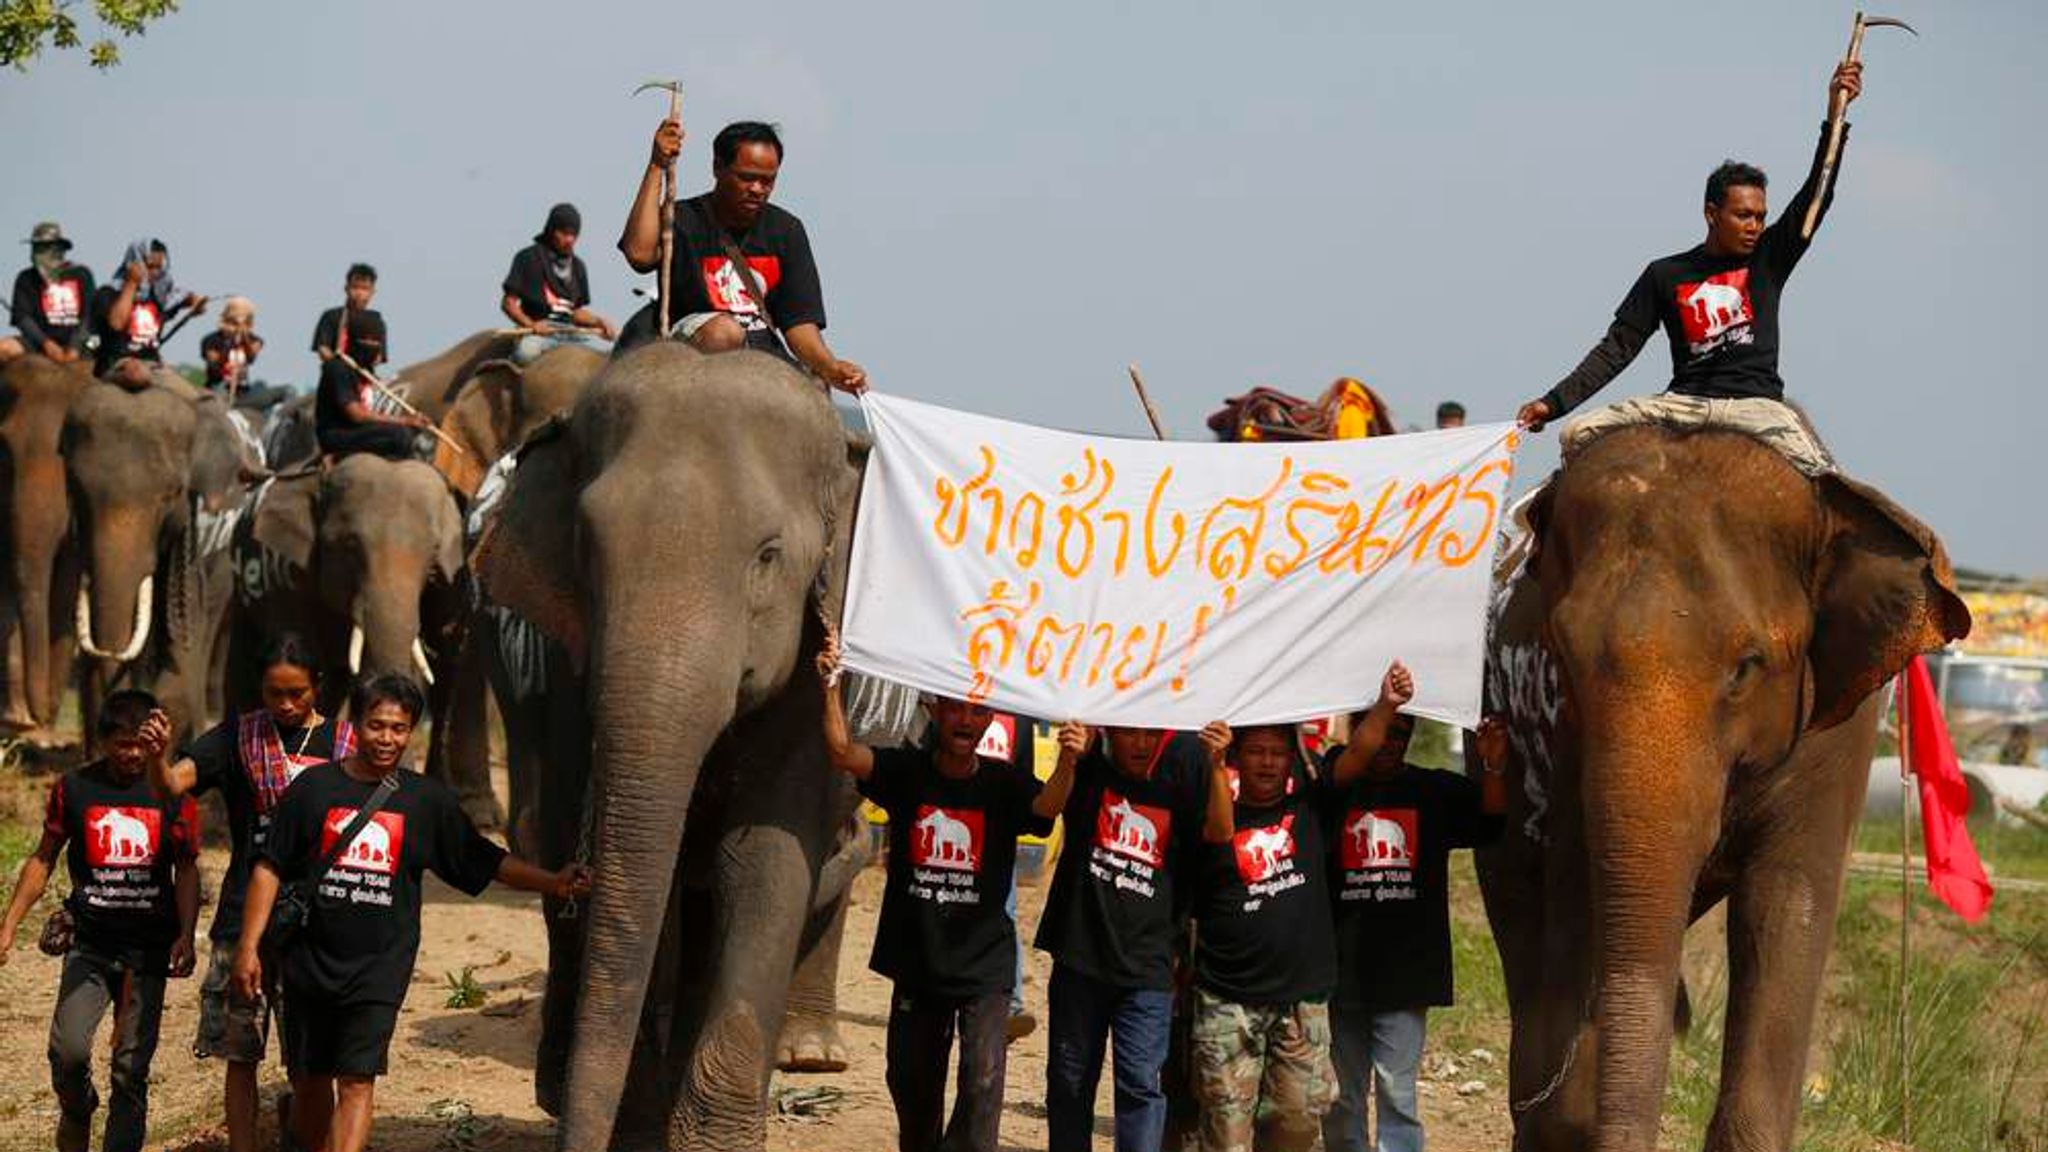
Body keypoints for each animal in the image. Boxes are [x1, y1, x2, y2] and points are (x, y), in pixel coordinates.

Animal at [475, 344, 871, 1150]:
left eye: (768, 556)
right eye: (587, 547)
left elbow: (761, 858)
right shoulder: (564, 660)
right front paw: (632, 1126)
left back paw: (808, 1055)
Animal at [1476, 426, 1969, 1152]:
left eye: (1746, 668)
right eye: (1561, 655)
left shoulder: (1840, 732)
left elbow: (1786, 903)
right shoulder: (1566, 741)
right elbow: (1579, 887)